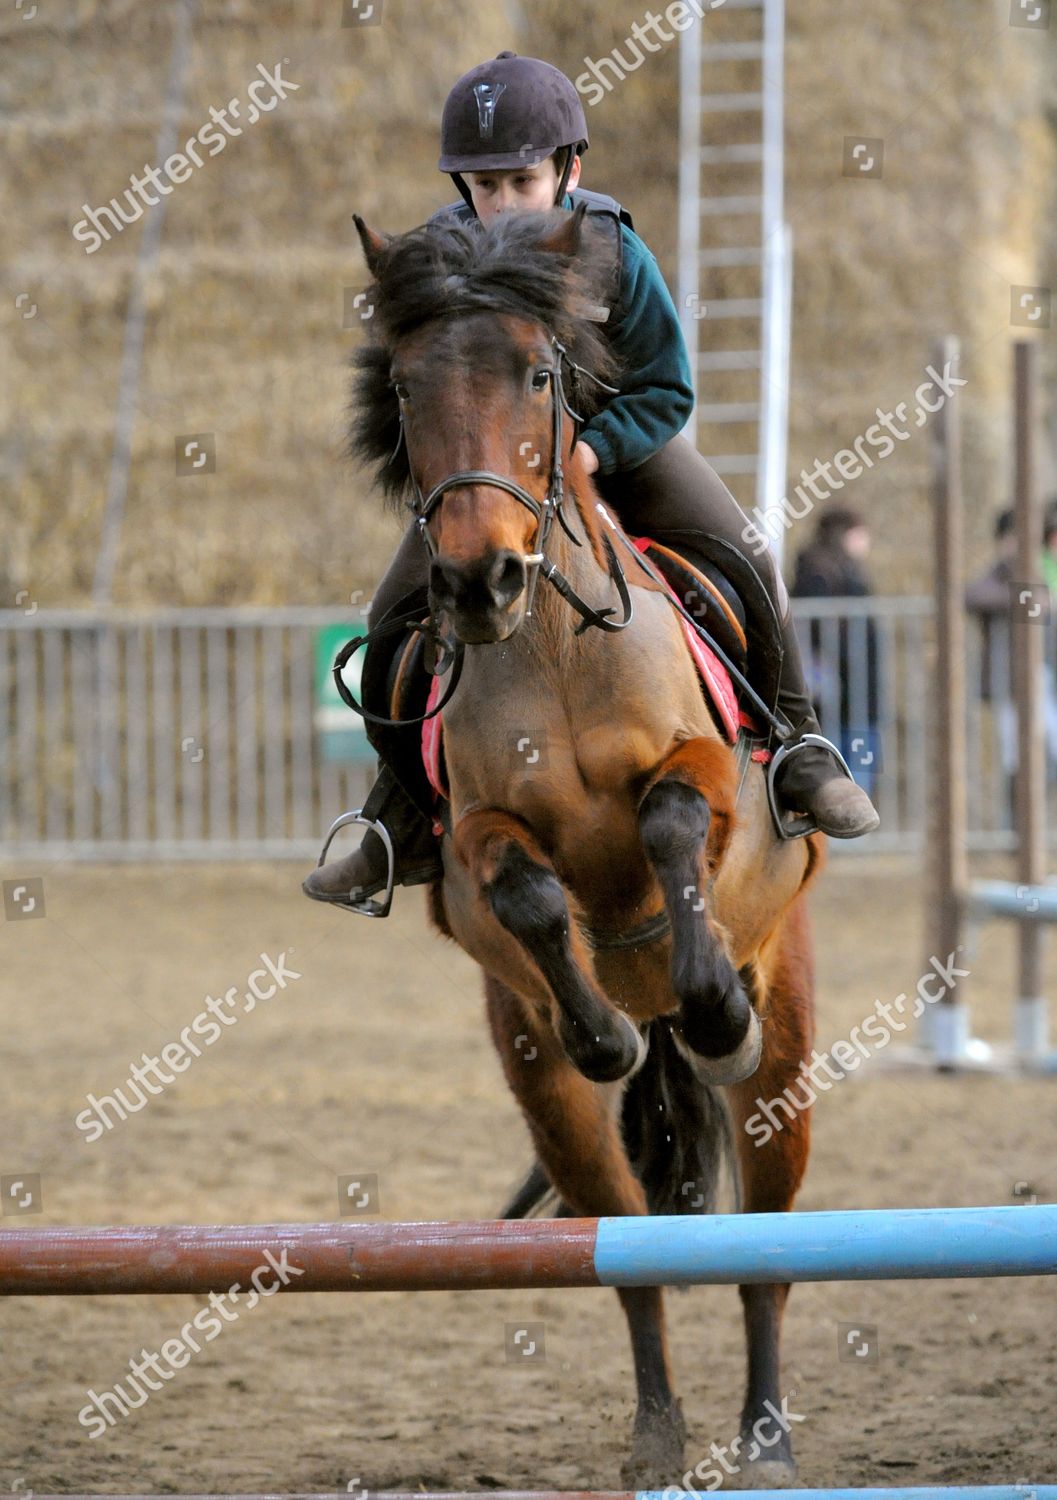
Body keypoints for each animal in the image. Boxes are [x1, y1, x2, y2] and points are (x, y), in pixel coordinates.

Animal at [348, 203, 823, 1487]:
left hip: (784, 1067)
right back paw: (657, 1433)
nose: (477, 579)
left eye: (540, 372)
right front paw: (605, 1030)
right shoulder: (472, 838)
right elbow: (519, 887)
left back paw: (765, 1435)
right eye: (402, 385)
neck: (552, 643)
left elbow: (668, 819)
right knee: (635, 1254)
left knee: (763, 1252)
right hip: (544, 1097)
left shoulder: (701, 772)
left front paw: (709, 1007)